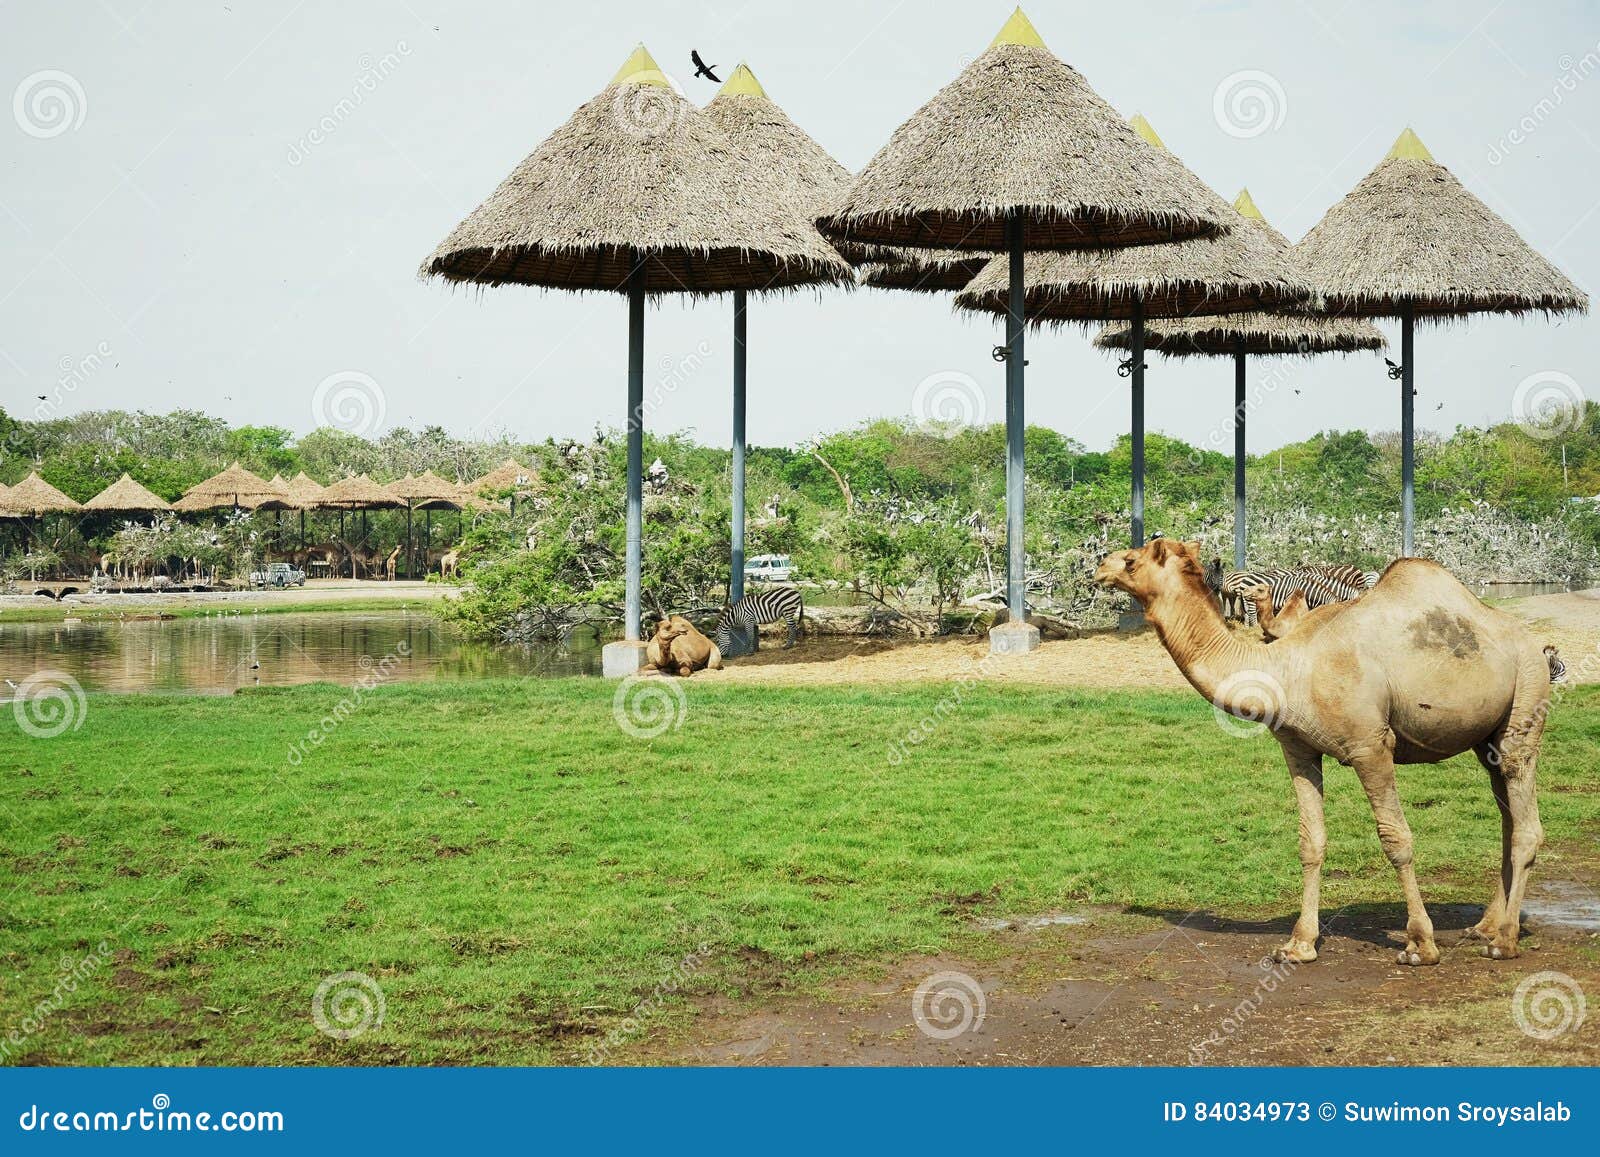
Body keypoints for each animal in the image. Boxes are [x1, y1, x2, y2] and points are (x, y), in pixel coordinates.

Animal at [1095, 538, 1552, 967]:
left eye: (1132, 560)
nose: (1100, 566)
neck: (1288, 669)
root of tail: (1535, 644)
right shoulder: (1298, 749)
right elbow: (1310, 841)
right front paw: (1299, 945)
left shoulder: (1371, 746)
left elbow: (1396, 838)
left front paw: (1420, 945)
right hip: (1485, 739)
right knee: (1508, 819)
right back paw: (1485, 926)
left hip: (1526, 699)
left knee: (1526, 822)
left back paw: (1504, 940)